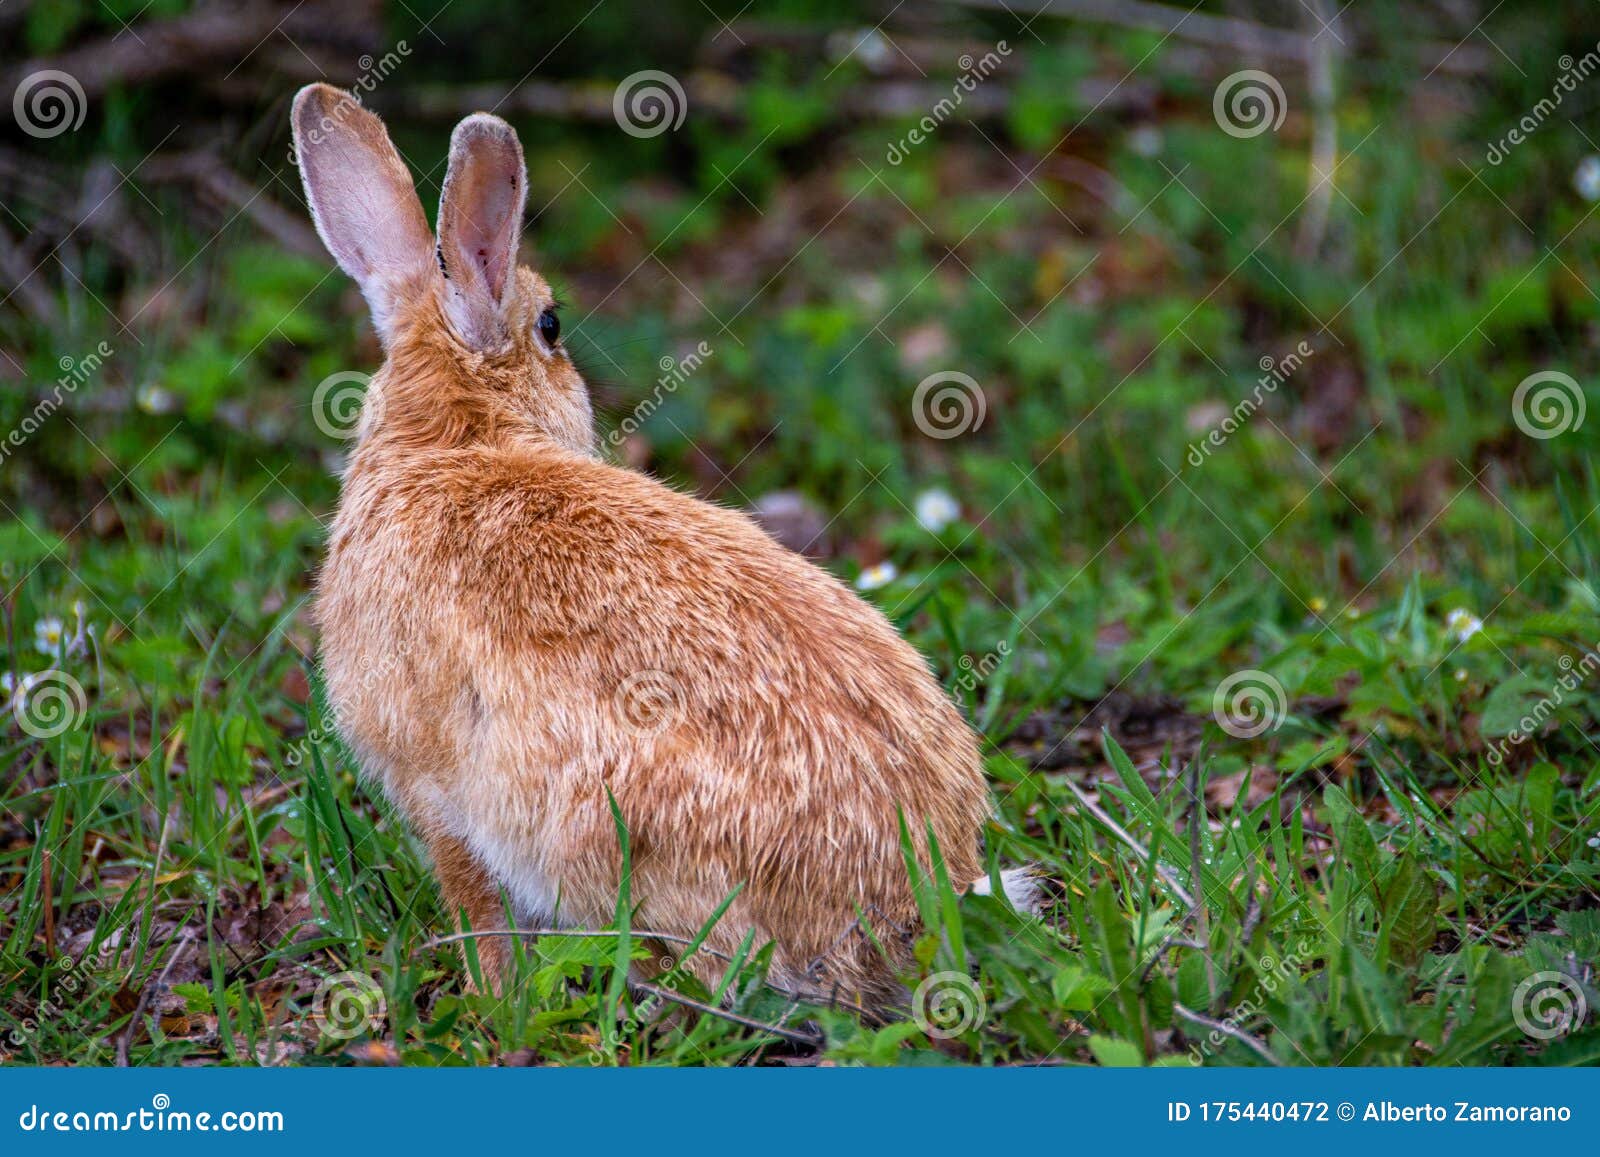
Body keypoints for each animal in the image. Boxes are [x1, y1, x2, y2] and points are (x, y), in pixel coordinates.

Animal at [290, 83, 1036, 1009]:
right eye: (553, 325)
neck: (458, 439)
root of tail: (906, 907)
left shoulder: (437, 793)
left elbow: (474, 902)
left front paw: (493, 996)